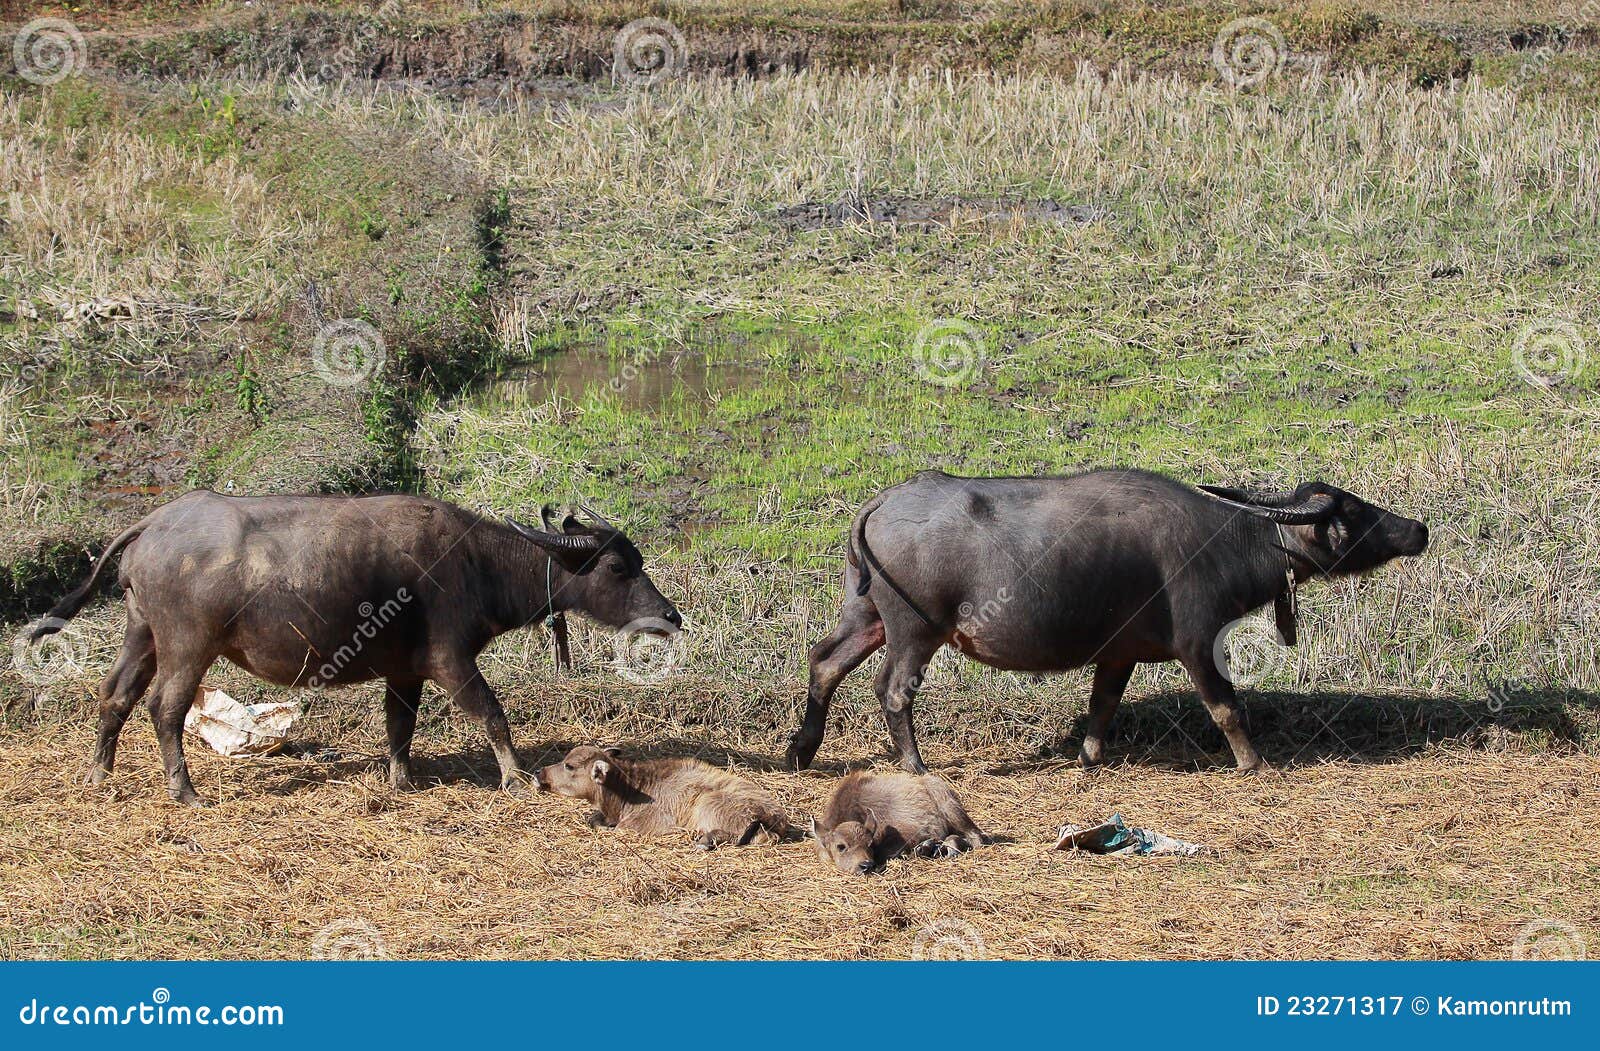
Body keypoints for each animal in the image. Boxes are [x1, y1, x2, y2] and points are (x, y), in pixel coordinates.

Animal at [26, 492, 680, 806]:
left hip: (141, 632)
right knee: (165, 708)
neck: (478, 564)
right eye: (618, 567)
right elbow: (492, 714)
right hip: (188, 643)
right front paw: (517, 779)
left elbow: (400, 725)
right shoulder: (450, 661)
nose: (670, 616)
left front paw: (401, 781)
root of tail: (156, 525)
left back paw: (99, 774)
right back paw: (186, 792)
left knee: (114, 696)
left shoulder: (405, 670)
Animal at [787, 468, 1429, 775]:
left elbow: (1102, 706)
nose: (1418, 528)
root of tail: (881, 504)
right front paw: (1253, 761)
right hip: (914, 630)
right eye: (1355, 511)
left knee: (825, 662)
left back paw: (802, 751)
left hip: (865, 614)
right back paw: (914, 763)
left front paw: (1090, 756)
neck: (1235, 540)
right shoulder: (1200, 642)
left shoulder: (1118, 654)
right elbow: (1226, 706)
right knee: (893, 690)